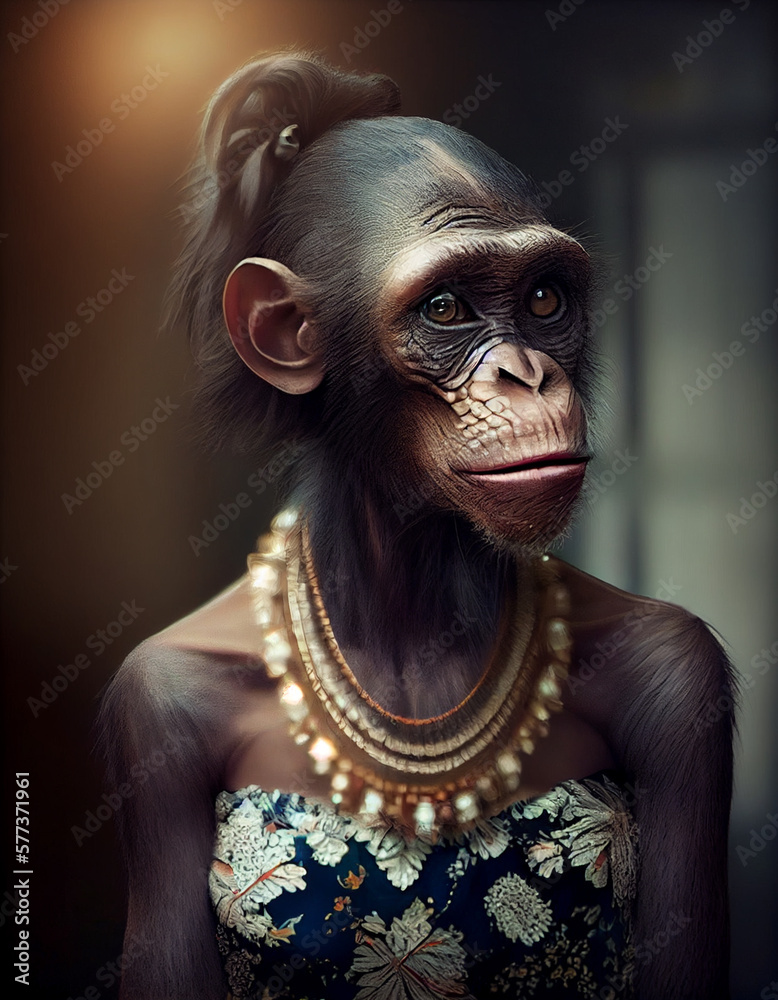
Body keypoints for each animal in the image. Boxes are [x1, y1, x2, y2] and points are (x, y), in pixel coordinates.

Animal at [100, 53, 734, 1000]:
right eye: (445, 311)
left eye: (544, 298)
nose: (529, 375)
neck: (408, 598)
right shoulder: (156, 701)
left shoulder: (679, 669)